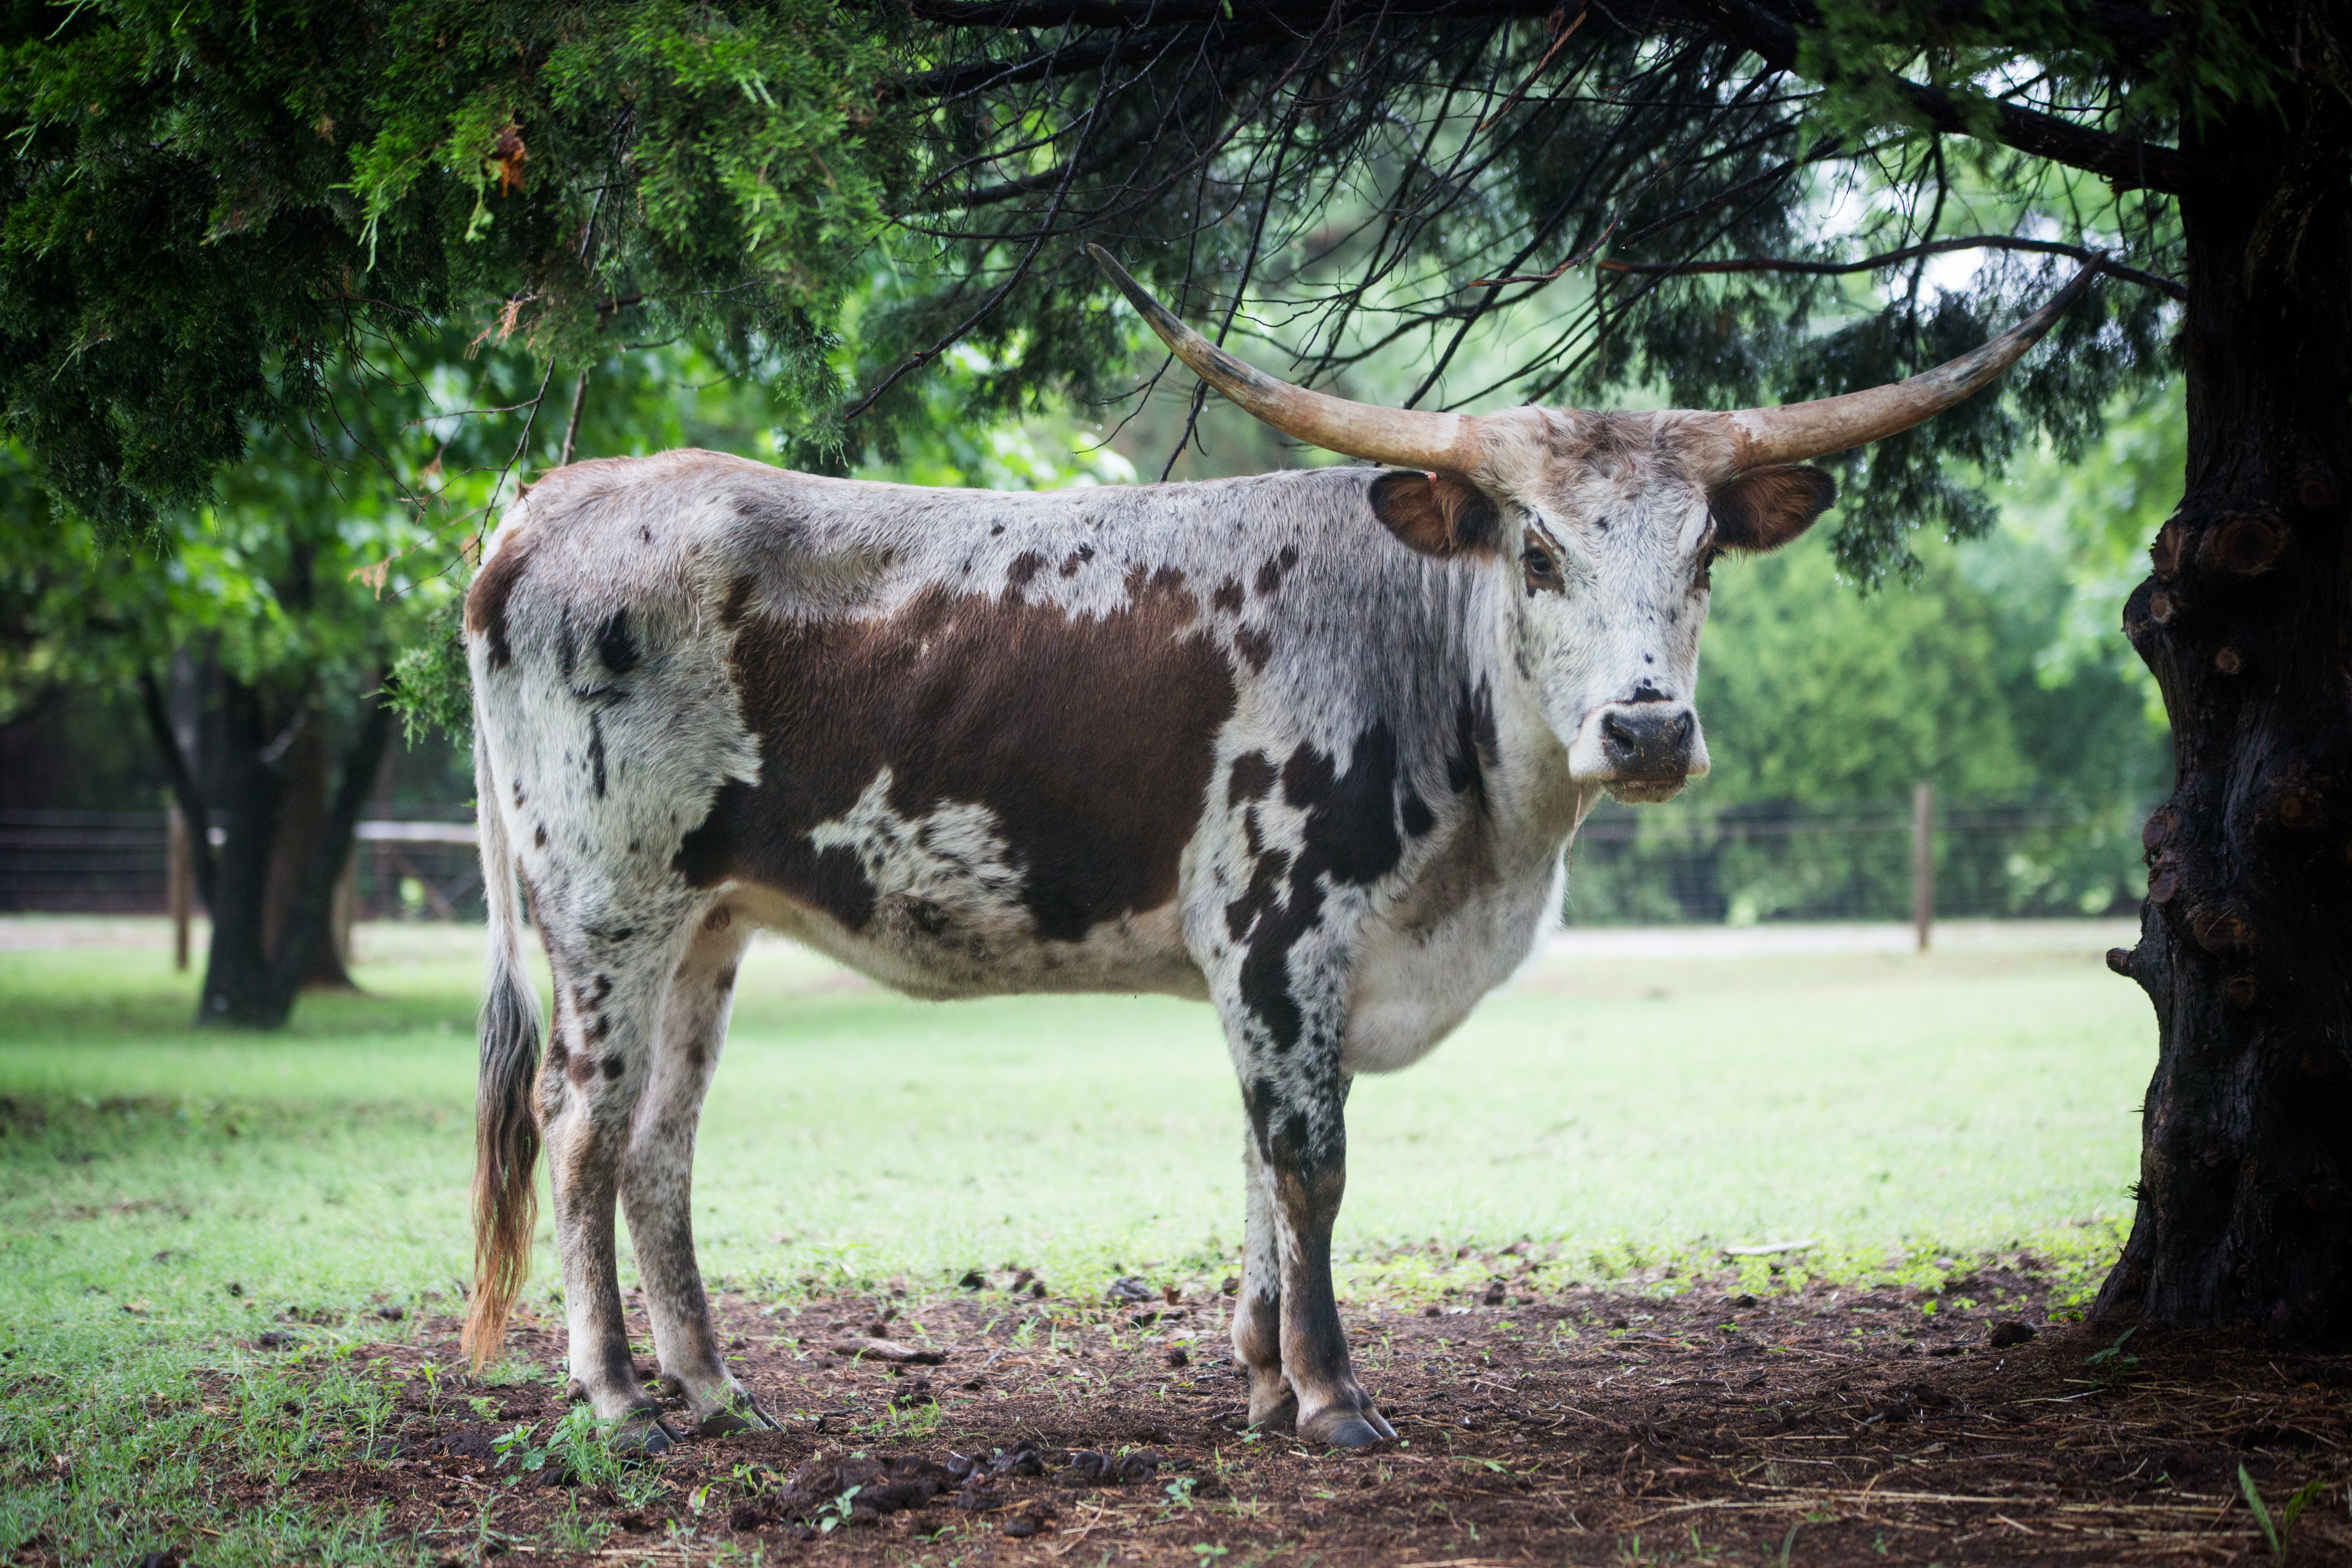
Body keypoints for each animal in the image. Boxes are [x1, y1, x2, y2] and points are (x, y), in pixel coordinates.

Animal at [459, 247, 2093, 1451]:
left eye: (1700, 554)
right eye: (1536, 550)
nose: (1643, 729)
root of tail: (553, 505)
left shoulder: (1280, 974)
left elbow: (1257, 1155)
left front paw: (1255, 1375)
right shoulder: (1278, 931)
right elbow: (1309, 1161)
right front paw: (1328, 1394)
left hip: (708, 923)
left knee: (662, 1139)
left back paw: (715, 1387)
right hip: (607, 906)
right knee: (581, 1123)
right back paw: (617, 1399)